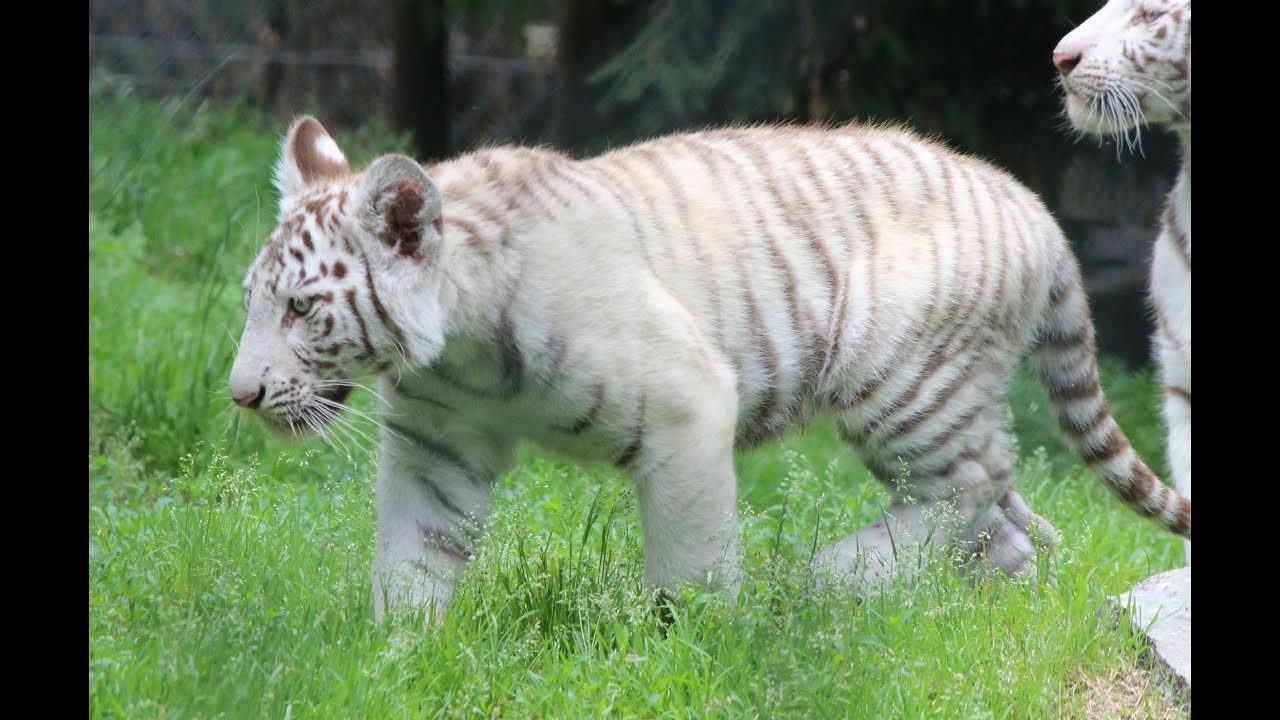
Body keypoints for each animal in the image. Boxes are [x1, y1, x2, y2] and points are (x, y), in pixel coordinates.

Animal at [229, 115, 1192, 620]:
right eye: (253, 300)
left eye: (302, 309)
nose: (242, 395)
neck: (459, 343)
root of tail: (1036, 208)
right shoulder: (436, 441)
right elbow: (411, 553)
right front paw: (400, 647)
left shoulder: (685, 401)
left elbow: (687, 559)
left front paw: (686, 643)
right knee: (1017, 521)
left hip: (899, 380)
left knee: (976, 488)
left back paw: (831, 578)